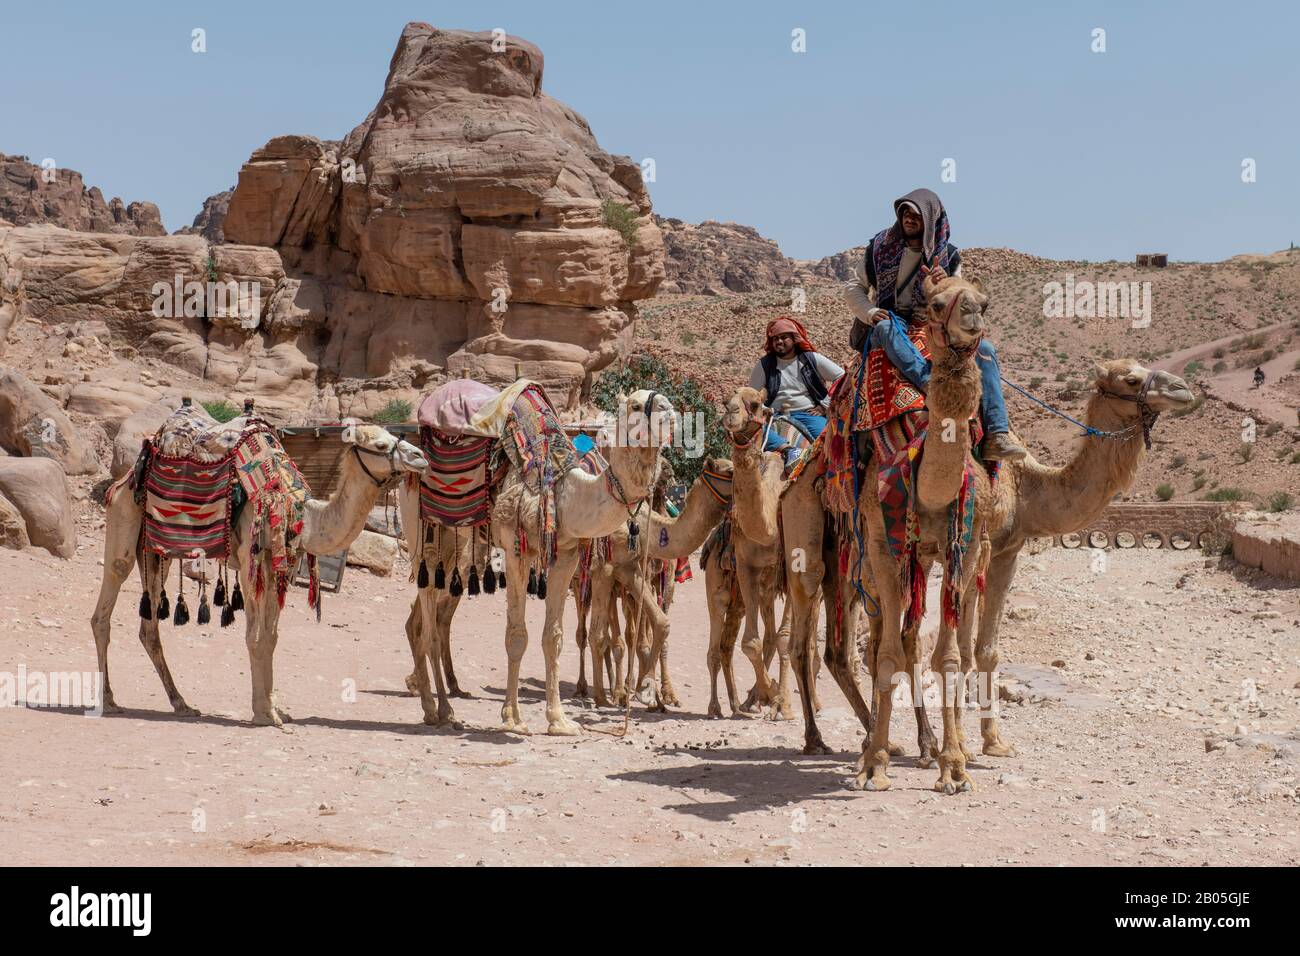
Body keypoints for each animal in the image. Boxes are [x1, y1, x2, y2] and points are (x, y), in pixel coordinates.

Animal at [90, 422, 429, 725]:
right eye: (381, 446)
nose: (420, 456)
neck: (301, 513)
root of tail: (122, 481)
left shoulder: (280, 568)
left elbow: (271, 637)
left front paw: (276, 708)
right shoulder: (251, 564)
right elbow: (255, 637)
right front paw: (264, 714)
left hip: (156, 551)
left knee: (149, 628)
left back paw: (182, 704)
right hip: (125, 519)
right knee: (105, 605)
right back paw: (109, 700)